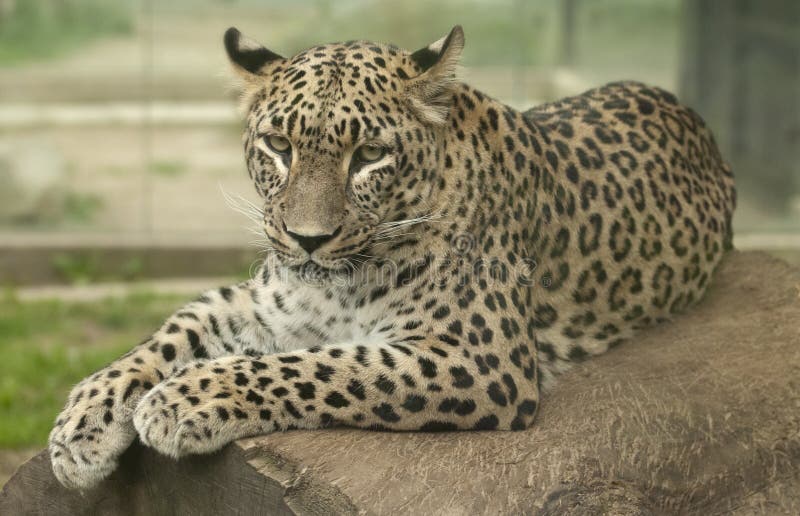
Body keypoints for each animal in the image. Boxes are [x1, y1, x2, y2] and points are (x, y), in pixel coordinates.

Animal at [48, 25, 736, 489]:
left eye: (370, 155)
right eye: (278, 146)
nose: (307, 238)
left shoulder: (478, 356)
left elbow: (319, 367)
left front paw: (182, 402)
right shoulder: (265, 303)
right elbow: (171, 331)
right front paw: (80, 424)